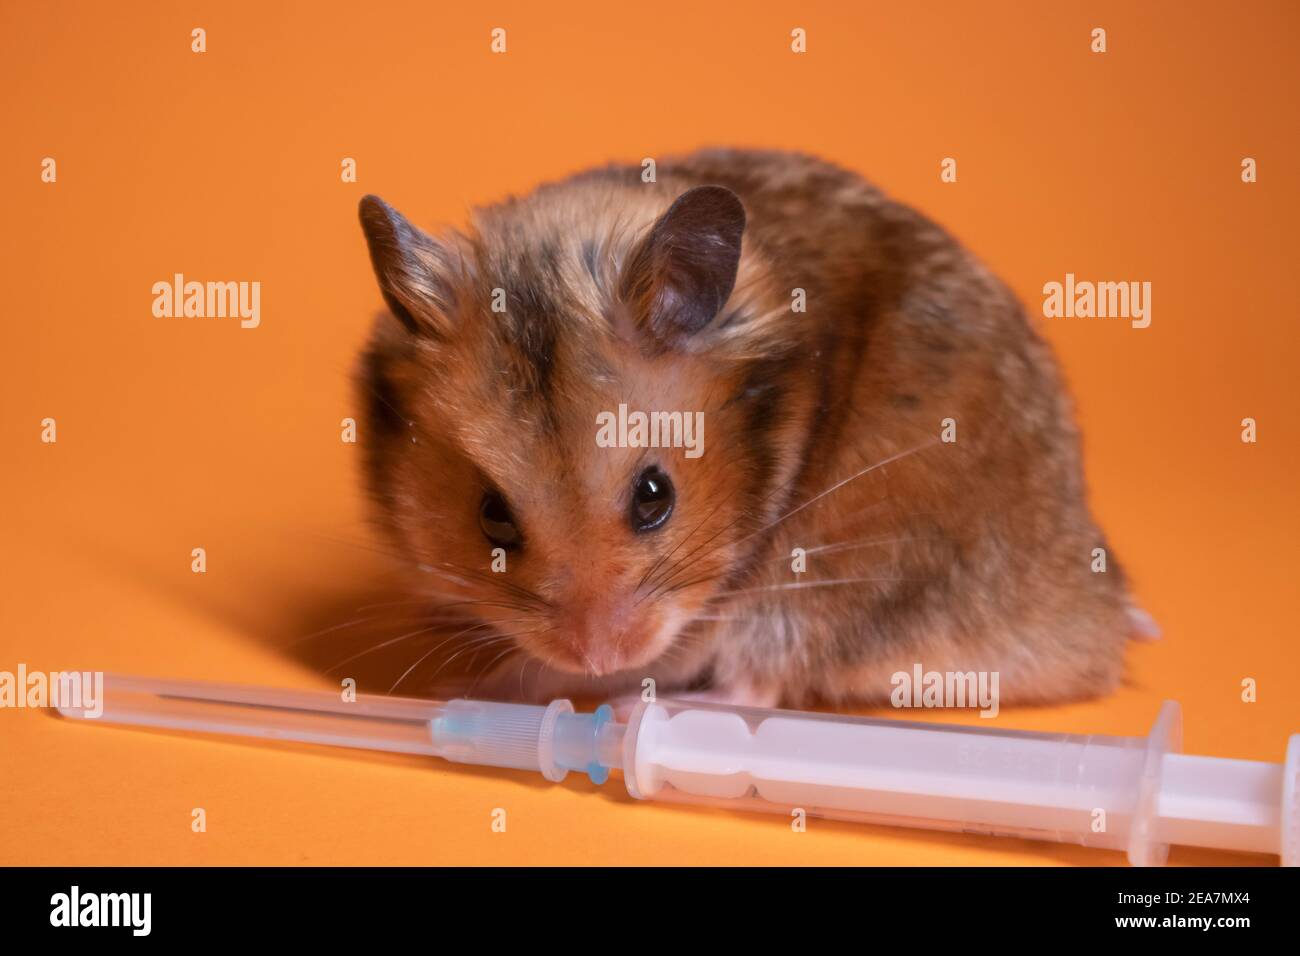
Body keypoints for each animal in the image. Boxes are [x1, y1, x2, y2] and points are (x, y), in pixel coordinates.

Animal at [354, 148, 1150, 709]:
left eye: (655, 496)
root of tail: (1089, 627)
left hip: (839, 578)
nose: (600, 656)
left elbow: (547, 670)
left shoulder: (702, 611)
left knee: (759, 684)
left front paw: (451, 691)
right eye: (491, 516)